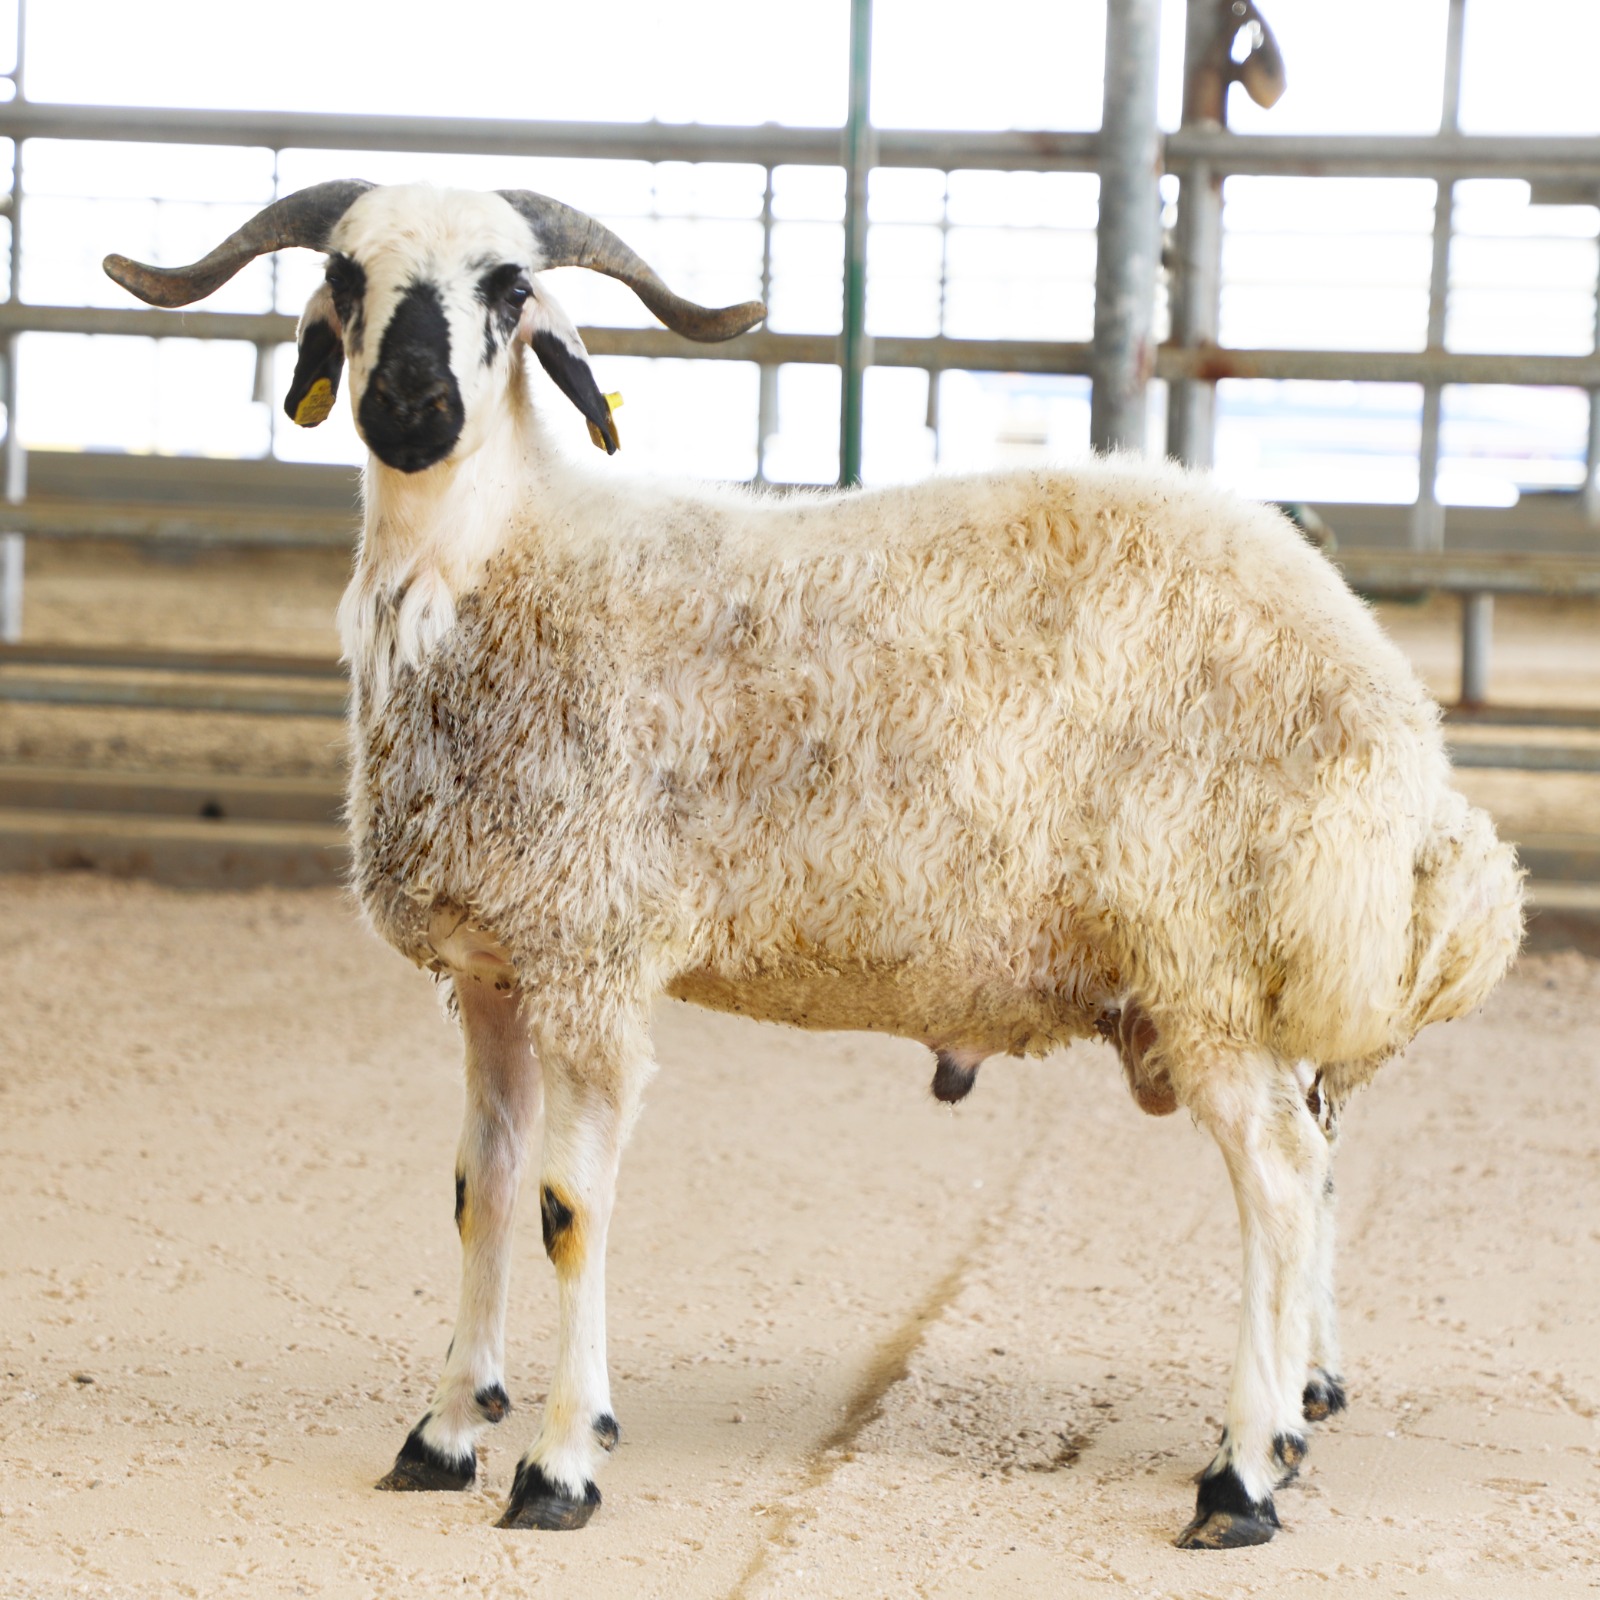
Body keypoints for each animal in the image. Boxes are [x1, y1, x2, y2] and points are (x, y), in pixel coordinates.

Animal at [104, 180, 1524, 1550]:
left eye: (508, 287)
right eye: (346, 278)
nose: (411, 405)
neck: (504, 559)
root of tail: (1404, 735)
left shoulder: (594, 954)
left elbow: (568, 1205)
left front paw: (561, 1462)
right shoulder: (499, 965)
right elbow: (481, 1190)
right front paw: (444, 1433)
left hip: (1212, 957)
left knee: (1279, 1186)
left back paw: (1240, 1475)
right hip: (1251, 982)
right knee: (1311, 1166)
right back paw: (1288, 1424)